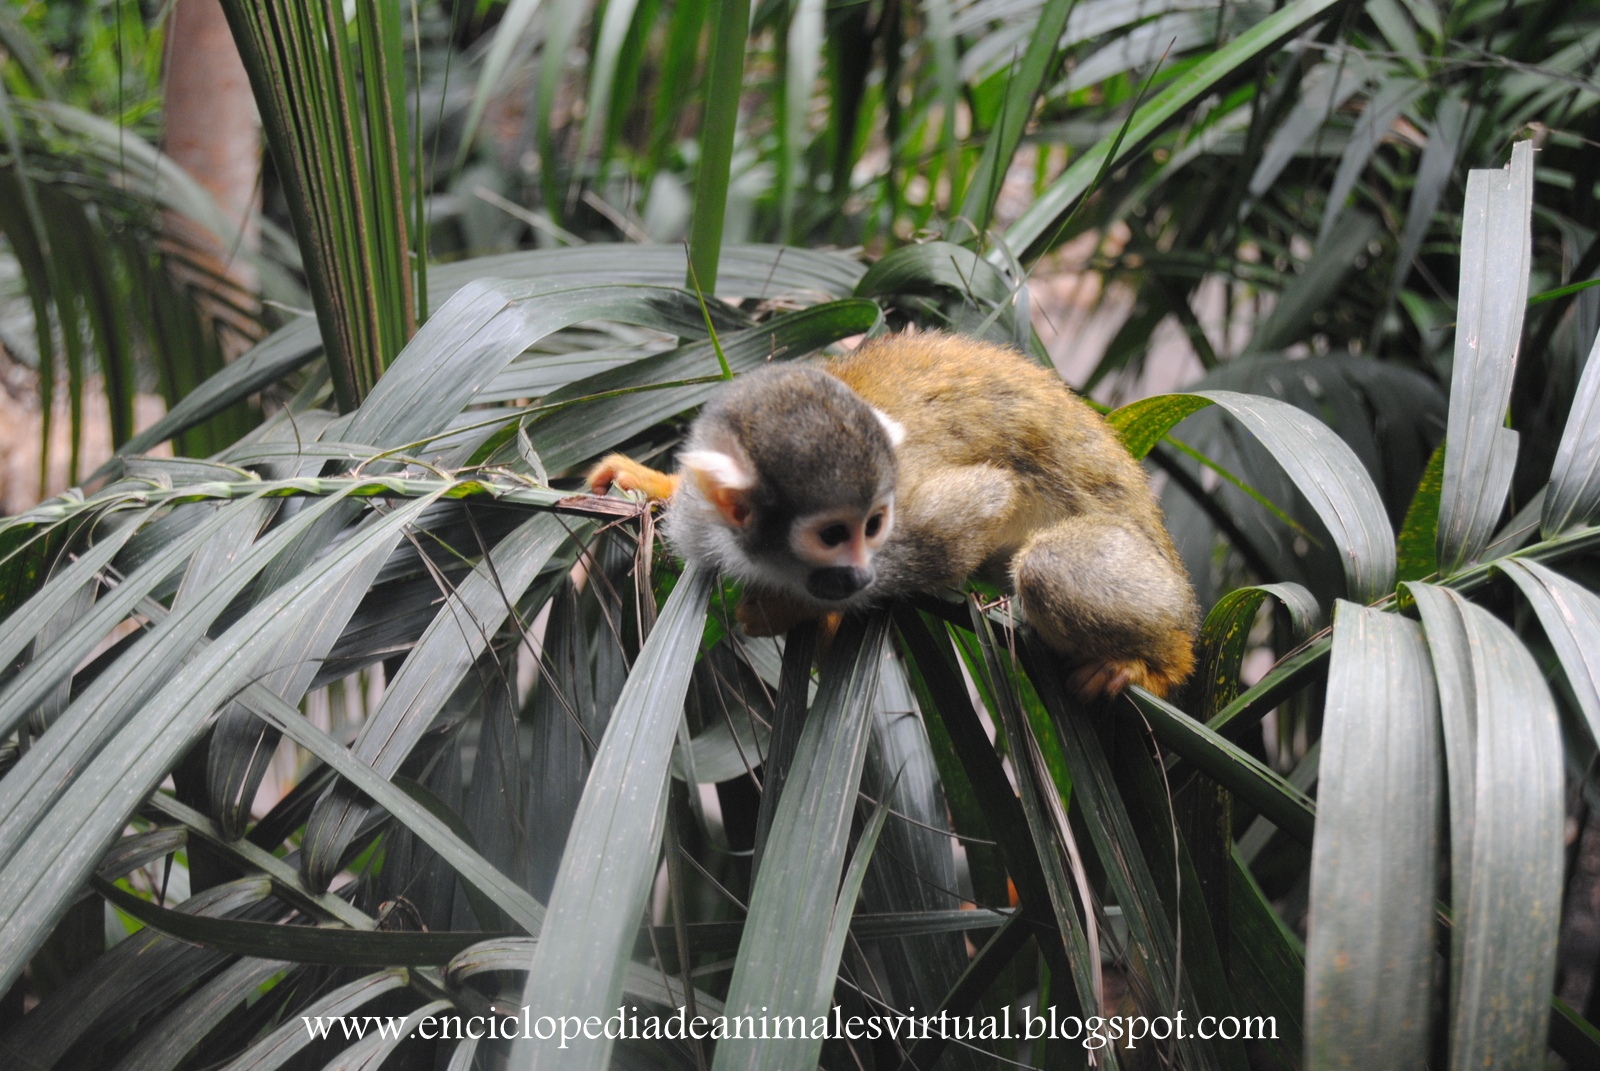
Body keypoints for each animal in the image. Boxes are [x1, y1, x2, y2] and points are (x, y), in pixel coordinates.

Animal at [588, 331, 1199, 699]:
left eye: (874, 526)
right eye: (833, 534)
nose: (856, 573)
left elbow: (978, 505)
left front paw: (785, 607)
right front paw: (650, 480)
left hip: (1155, 581)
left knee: (1048, 567)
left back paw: (1160, 661)